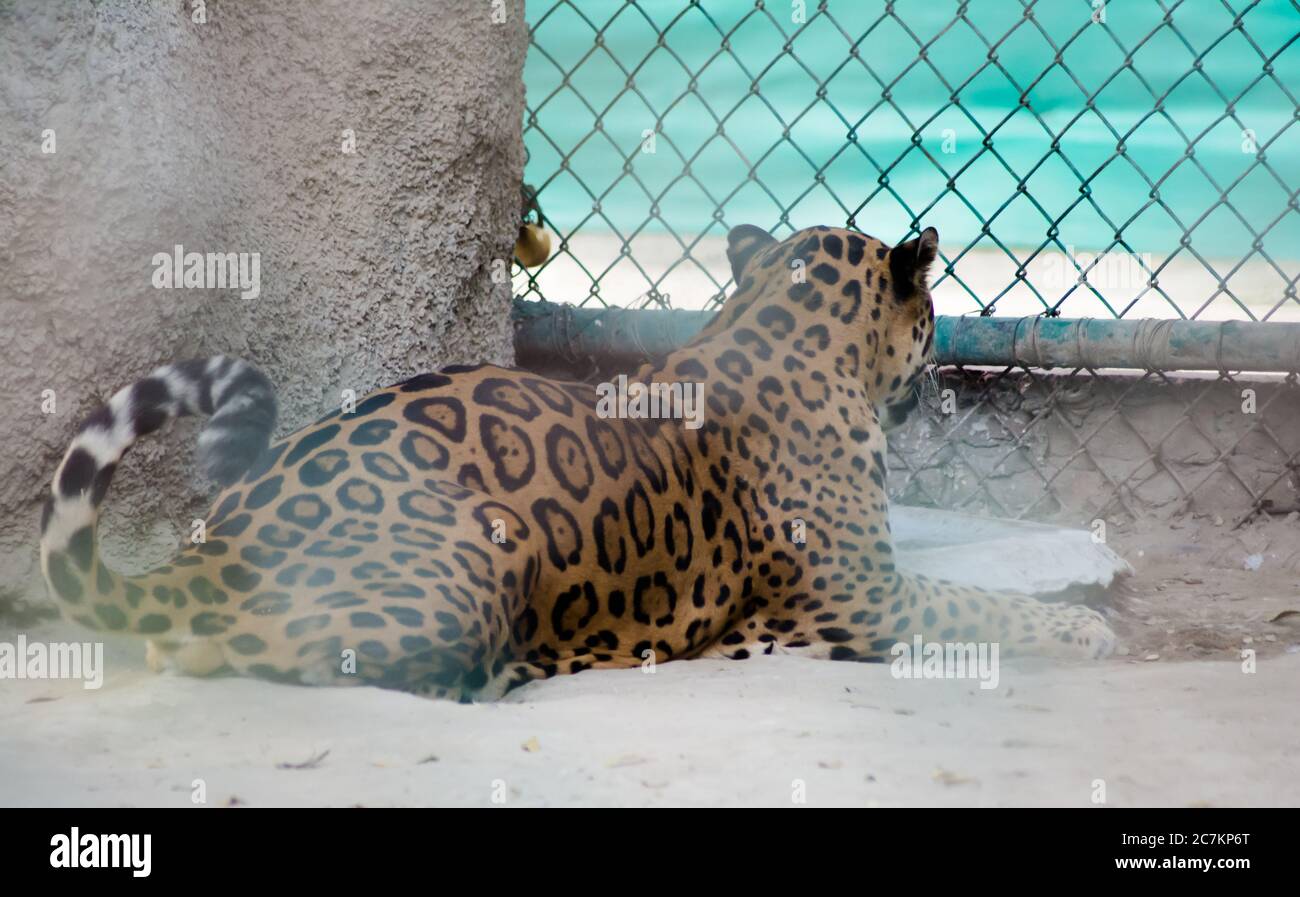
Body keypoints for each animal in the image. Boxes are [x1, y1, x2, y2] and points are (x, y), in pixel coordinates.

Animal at [39, 223, 1116, 700]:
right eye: (931, 312)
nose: (928, 382)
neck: (779, 324)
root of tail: (213, 551)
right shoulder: (869, 597)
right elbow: (983, 607)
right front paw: (1084, 628)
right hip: (469, 562)